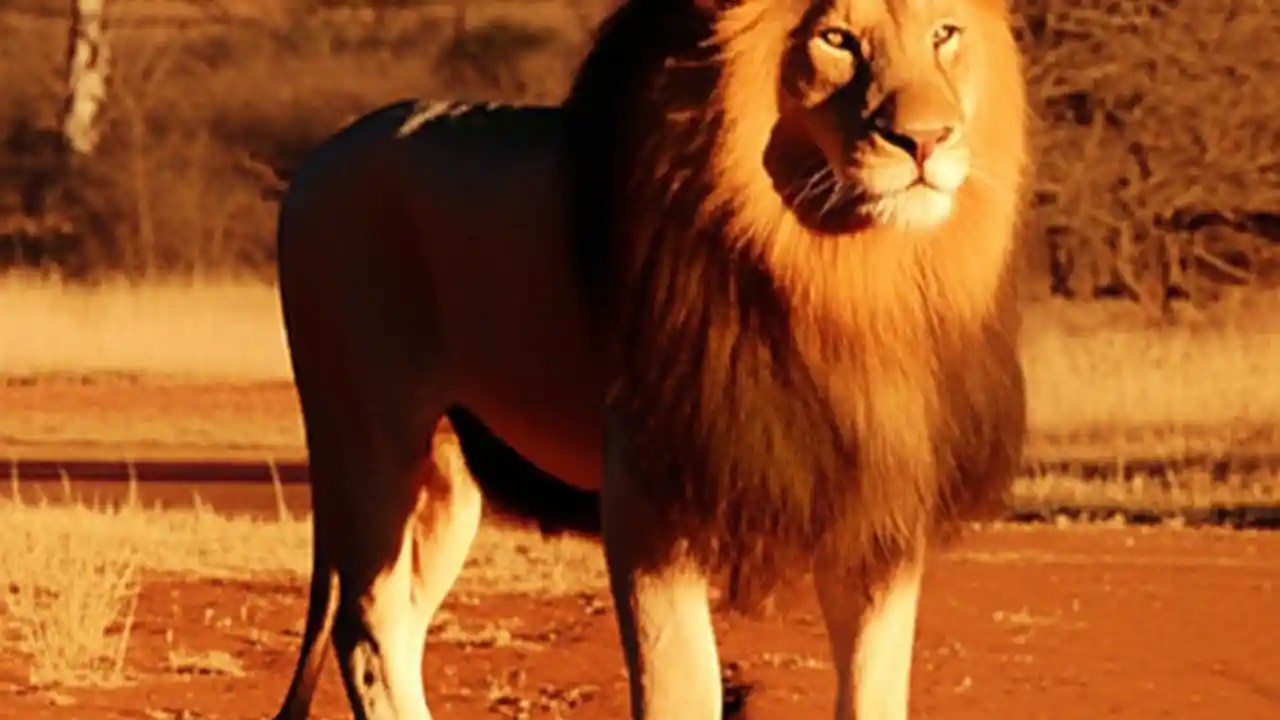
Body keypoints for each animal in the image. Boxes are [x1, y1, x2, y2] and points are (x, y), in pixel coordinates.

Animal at [271, 0, 1029, 718]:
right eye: (837, 41)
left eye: (944, 36)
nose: (926, 140)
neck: (847, 277)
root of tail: (316, 161)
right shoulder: (648, 497)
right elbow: (683, 687)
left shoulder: (874, 504)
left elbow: (874, 690)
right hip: (370, 443)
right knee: (366, 629)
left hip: (446, 479)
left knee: (399, 625)